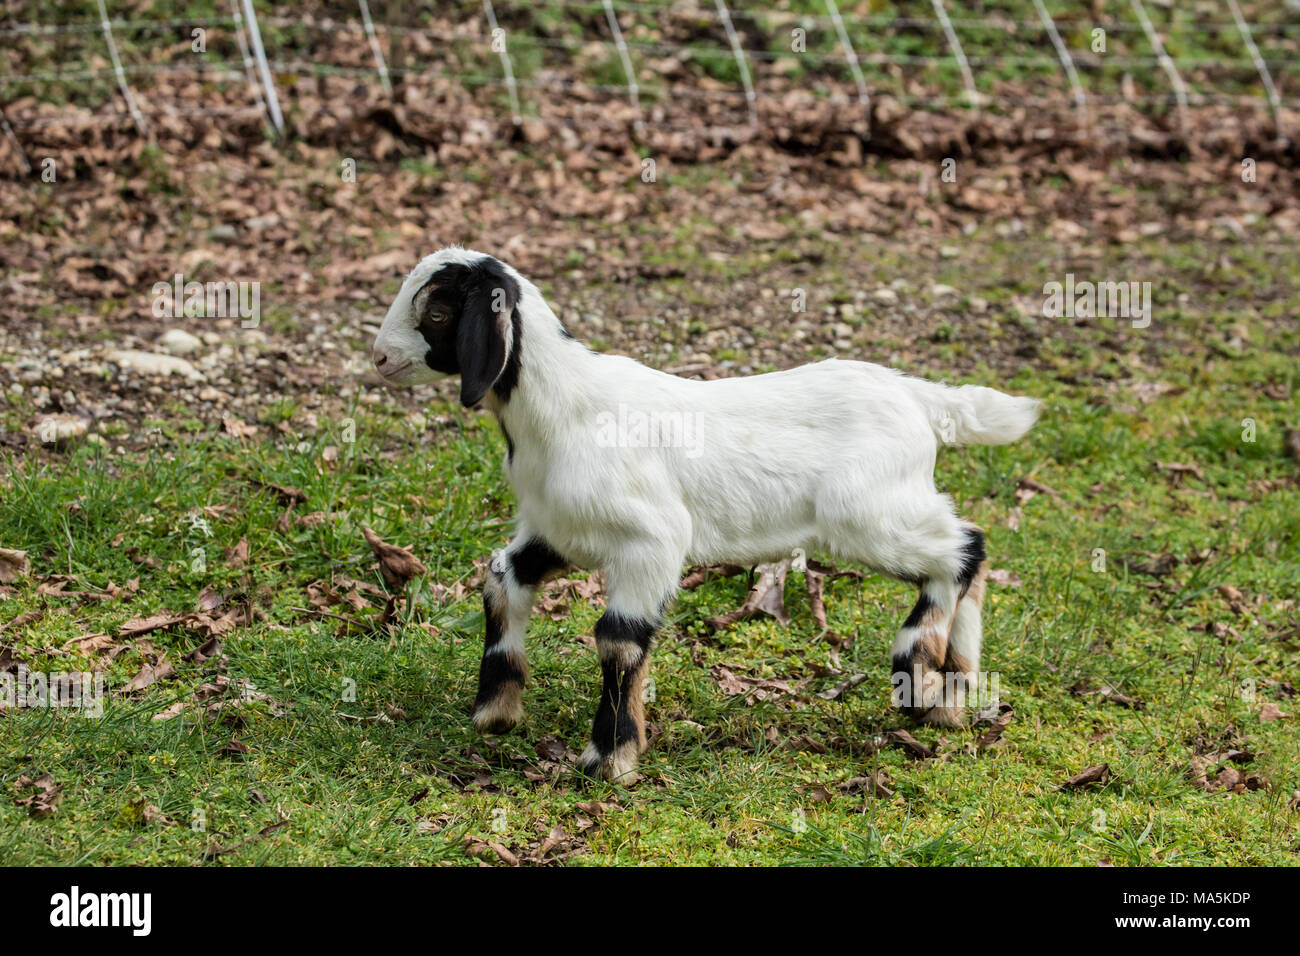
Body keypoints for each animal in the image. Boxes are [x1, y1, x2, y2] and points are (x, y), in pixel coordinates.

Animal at [372, 247, 1040, 783]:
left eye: (437, 313)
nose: (379, 358)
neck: (560, 409)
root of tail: (918, 396)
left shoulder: (652, 539)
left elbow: (618, 639)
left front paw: (610, 760)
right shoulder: (557, 529)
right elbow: (501, 578)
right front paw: (496, 713)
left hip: (871, 517)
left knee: (964, 549)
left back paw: (919, 670)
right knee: (969, 547)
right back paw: (954, 692)